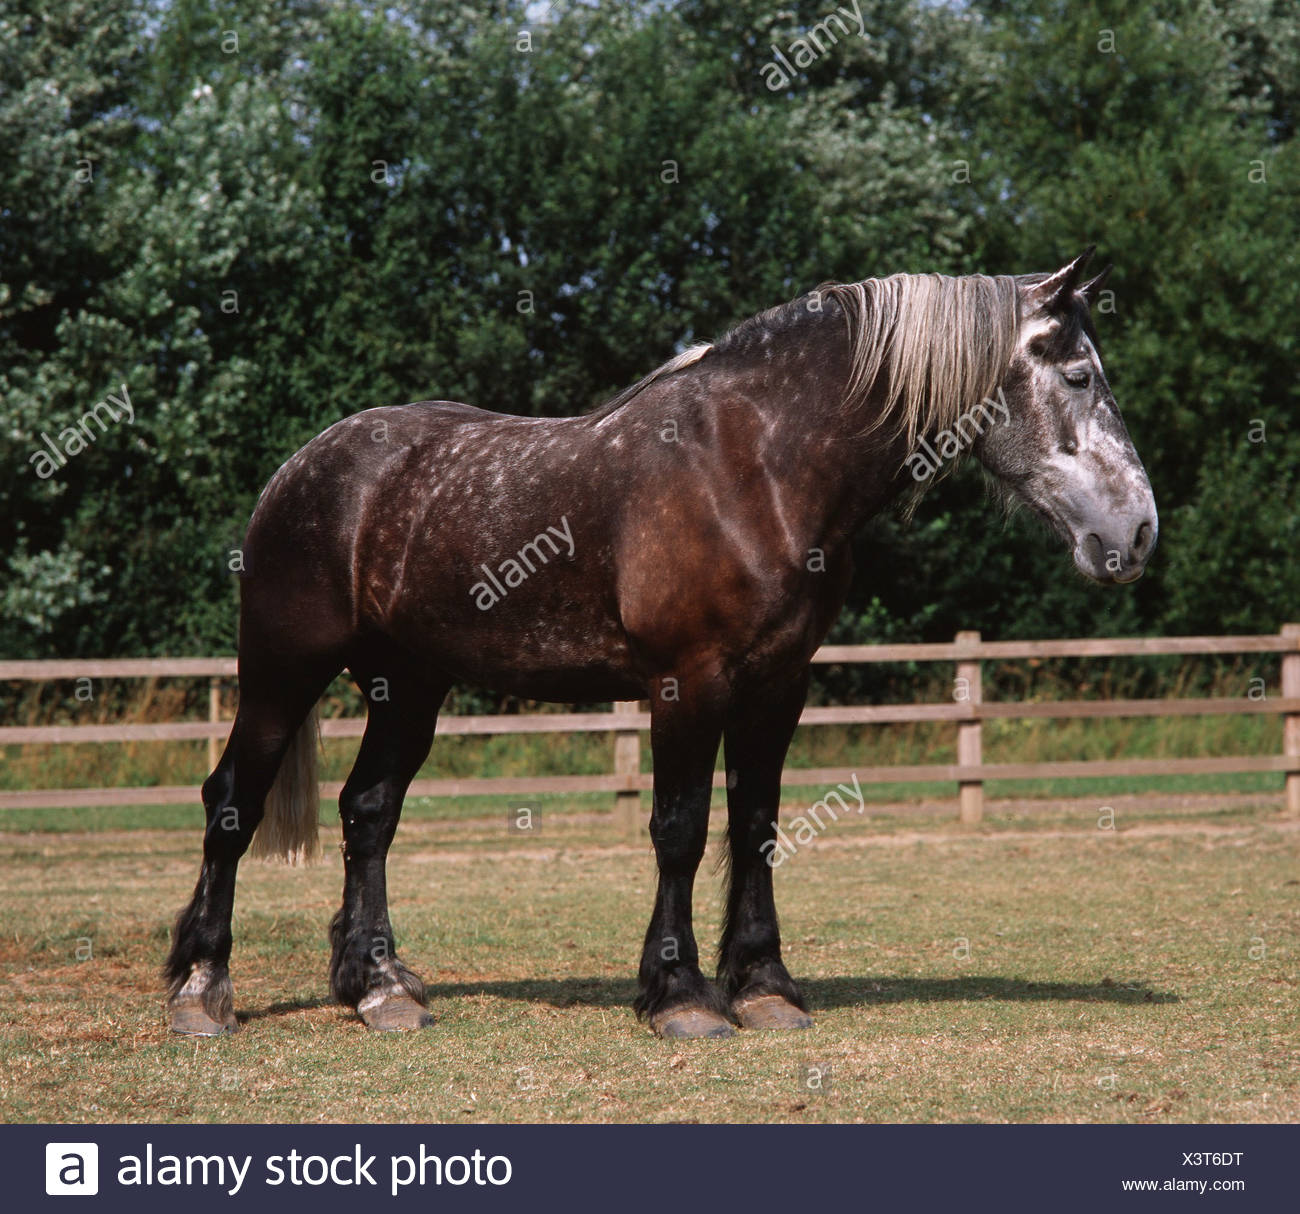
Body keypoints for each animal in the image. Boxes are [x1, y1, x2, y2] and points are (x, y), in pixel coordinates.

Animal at [165, 248, 1157, 1039]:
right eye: (1079, 376)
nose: (1138, 533)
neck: (755, 467)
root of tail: (303, 468)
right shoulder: (690, 681)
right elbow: (679, 829)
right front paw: (680, 995)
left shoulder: (778, 685)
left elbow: (755, 826)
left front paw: (764, 988)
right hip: (283, 671)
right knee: (232, 803)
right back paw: (202, 990)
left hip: (407, 685)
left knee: (368, 812)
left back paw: (379, 989)